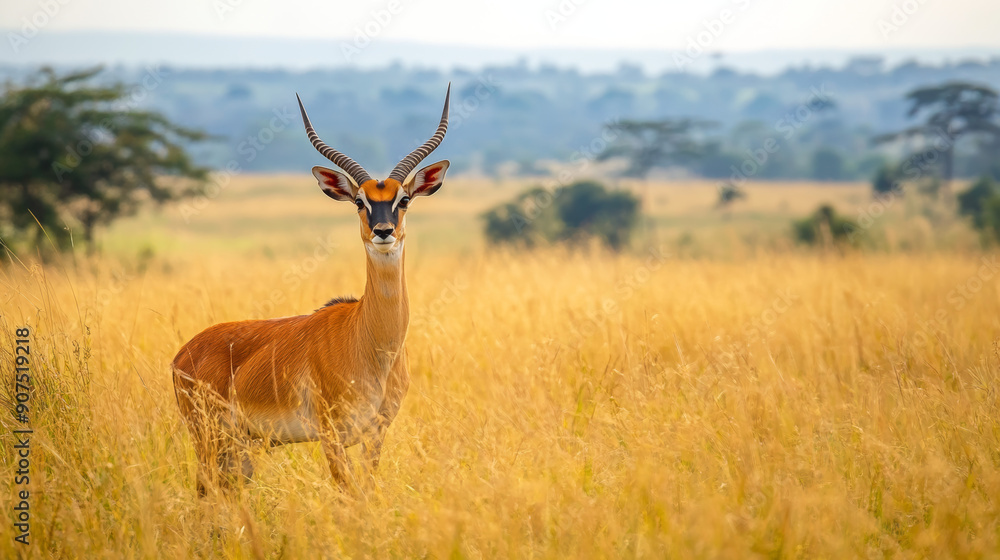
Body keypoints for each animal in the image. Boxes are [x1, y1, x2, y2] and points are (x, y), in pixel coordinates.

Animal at [172, 85, 451, 495]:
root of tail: (183, 353)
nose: (383, 231)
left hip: (237, 448)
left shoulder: (375, 434)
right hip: (209, 438)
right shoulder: (331, 436)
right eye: (359, 201)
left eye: (403, 199)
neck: (370, 344)